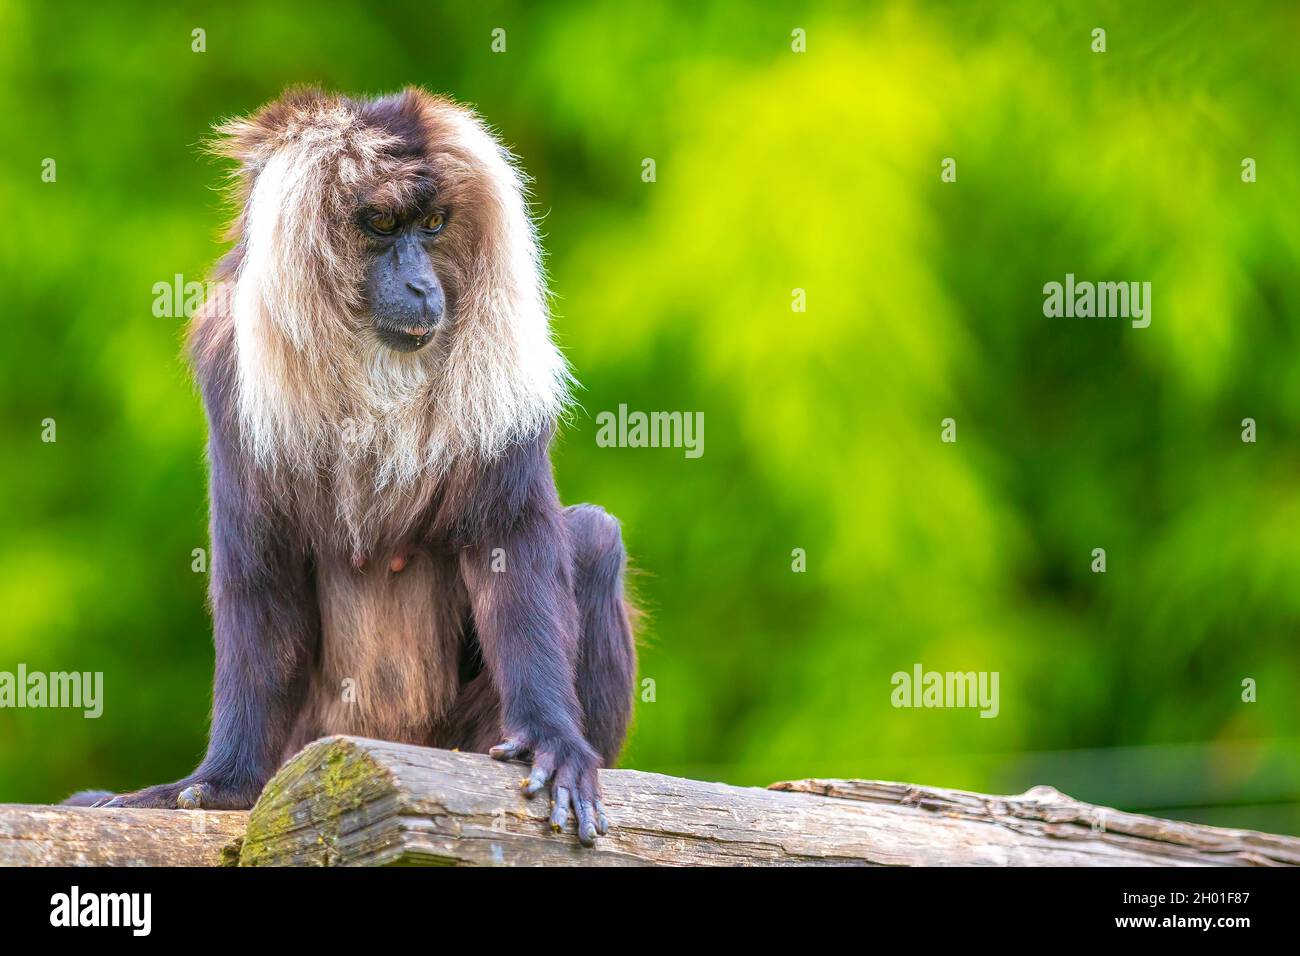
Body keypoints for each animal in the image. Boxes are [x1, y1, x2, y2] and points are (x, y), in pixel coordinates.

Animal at [73, 87, 637, 847]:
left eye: (432, 224)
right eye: (381, 224)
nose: (422, 286)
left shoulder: (503, 369)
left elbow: (510, 543)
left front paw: (553, 738)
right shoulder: (235, 367)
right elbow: (260, 579)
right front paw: (221, 782)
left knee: (594, 537)